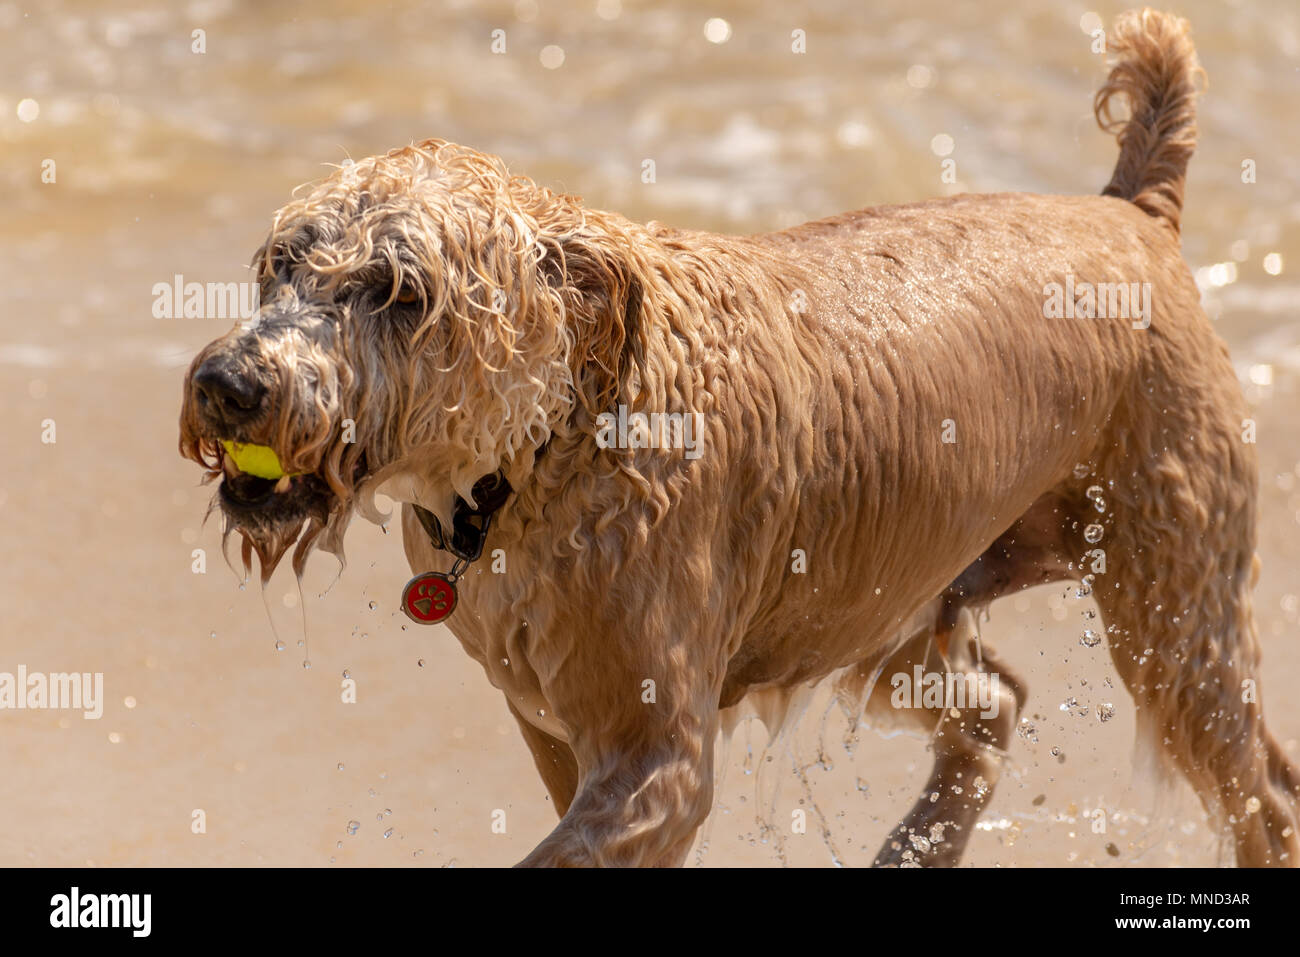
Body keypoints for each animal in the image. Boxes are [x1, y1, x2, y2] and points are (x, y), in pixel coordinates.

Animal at [180, 7, 1300, 863]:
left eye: (400, 292)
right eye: (283, 262)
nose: (230, 384)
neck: (543, 455)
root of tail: (1135, 213)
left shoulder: (658, 758)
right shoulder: (556, 731)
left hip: (1172, 614)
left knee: (1265, 793)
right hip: (882, 610)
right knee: (995, 705)